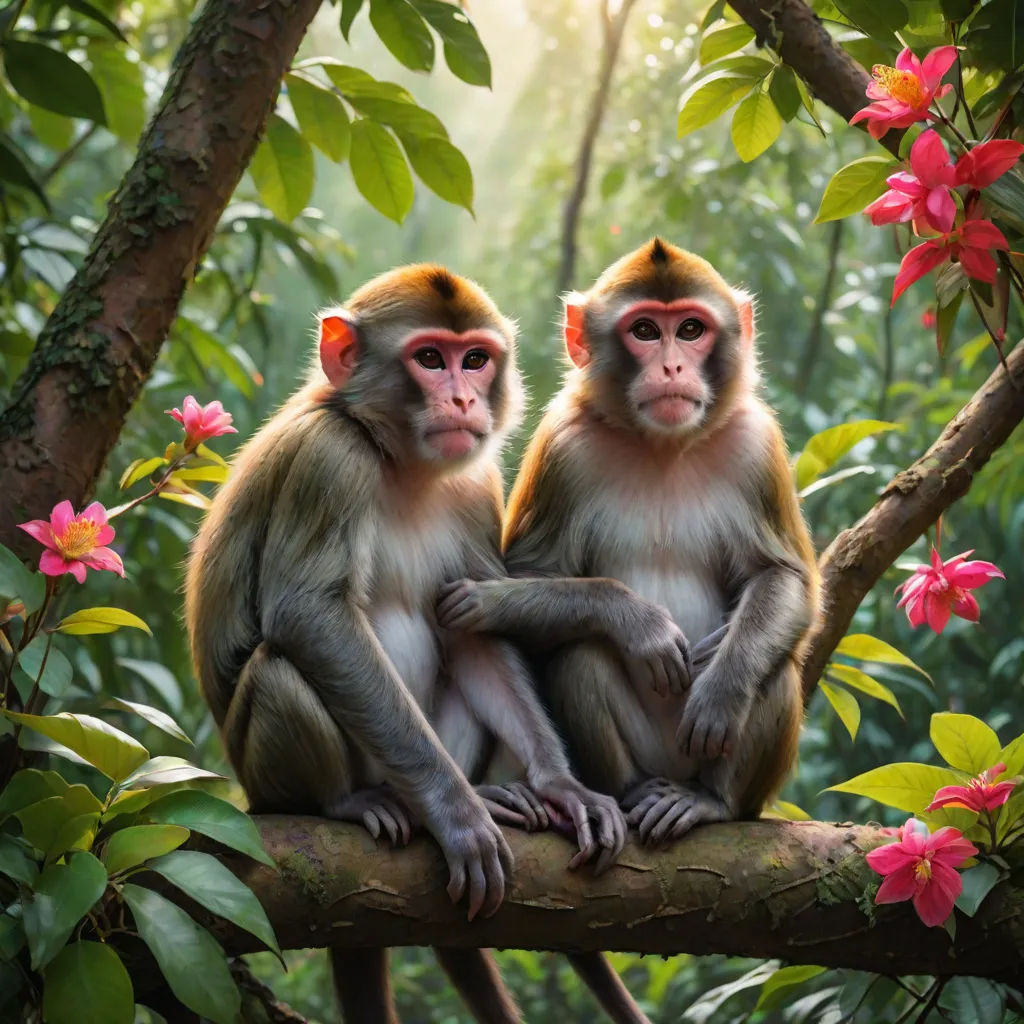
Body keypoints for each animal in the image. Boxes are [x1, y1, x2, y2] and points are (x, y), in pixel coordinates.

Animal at [184, 264, 659, 1024]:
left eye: (476, 359)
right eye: (430, 359)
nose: (463, 398)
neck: (397, 461)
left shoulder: (475, 482)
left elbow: (466, 627)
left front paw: (560, 785)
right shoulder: (329, 460)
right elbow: (309, 616)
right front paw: (456, 814)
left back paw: (490, 790)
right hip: (265, 783)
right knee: (281, 670)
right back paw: (359, 803)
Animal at [437, 238, 820, 845]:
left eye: (690, 329)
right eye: (644, 329)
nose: (671, 366)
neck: (661, 446)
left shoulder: (756, 445)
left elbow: (782, 576)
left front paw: (722, 686)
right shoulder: (563, 445)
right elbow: (534, 580)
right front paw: (637, 621)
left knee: (775, 668)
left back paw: (711, 800)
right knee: (580, 652)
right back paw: (631, 791)